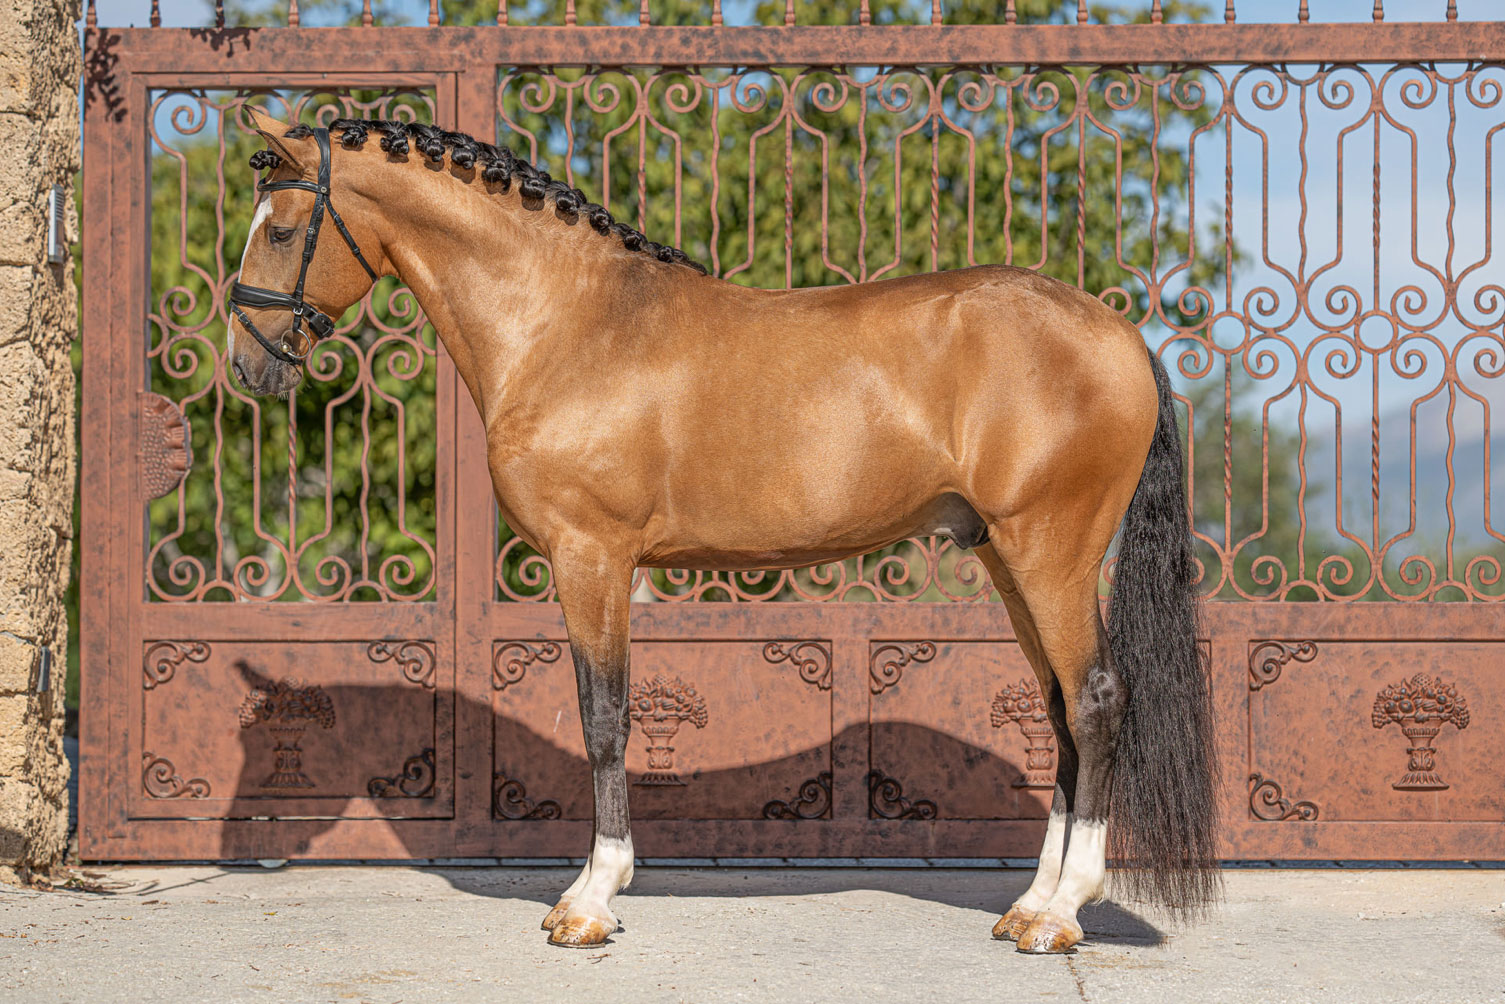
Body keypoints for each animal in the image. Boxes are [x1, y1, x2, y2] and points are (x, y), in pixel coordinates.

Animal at [226, 105, 1218, 954]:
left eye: (280, 229)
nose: (246, 365)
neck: (568, 323)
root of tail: (1121, 334)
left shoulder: (593, 558)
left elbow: (605, 716)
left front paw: (590, 901)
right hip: (1010, 562)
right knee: (1058, 709)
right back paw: (1030, 905)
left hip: (1051, 553)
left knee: (1096, 700)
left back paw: (1063, 913)